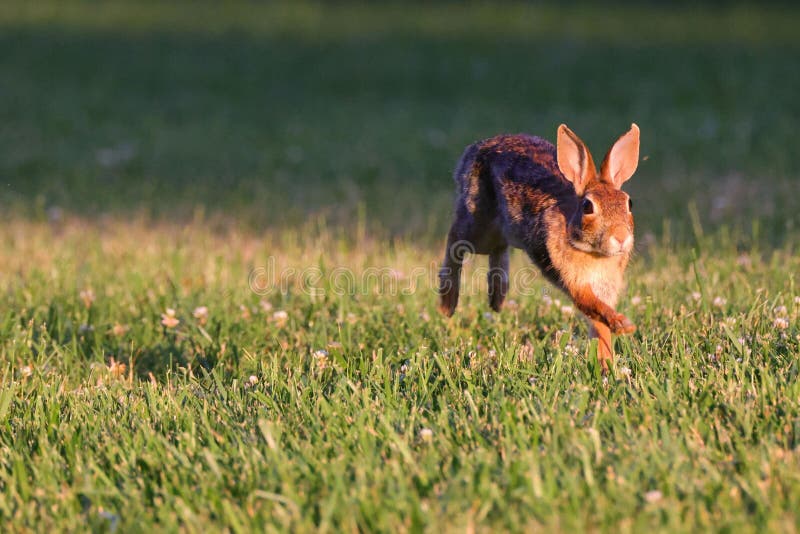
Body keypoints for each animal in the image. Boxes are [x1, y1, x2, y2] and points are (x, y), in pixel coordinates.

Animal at [438, 123, 640, 372]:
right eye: (588, 206)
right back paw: (448, 304)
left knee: (497, 249)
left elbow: (599, 325)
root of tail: (477, 147)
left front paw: (607, 366)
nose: (621, 237)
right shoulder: (574, 281)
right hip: (479, 225)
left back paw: (497, 298)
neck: (593, 252)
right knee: (455, 240)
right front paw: (624, 326)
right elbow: (592, 305)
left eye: (629, 203)